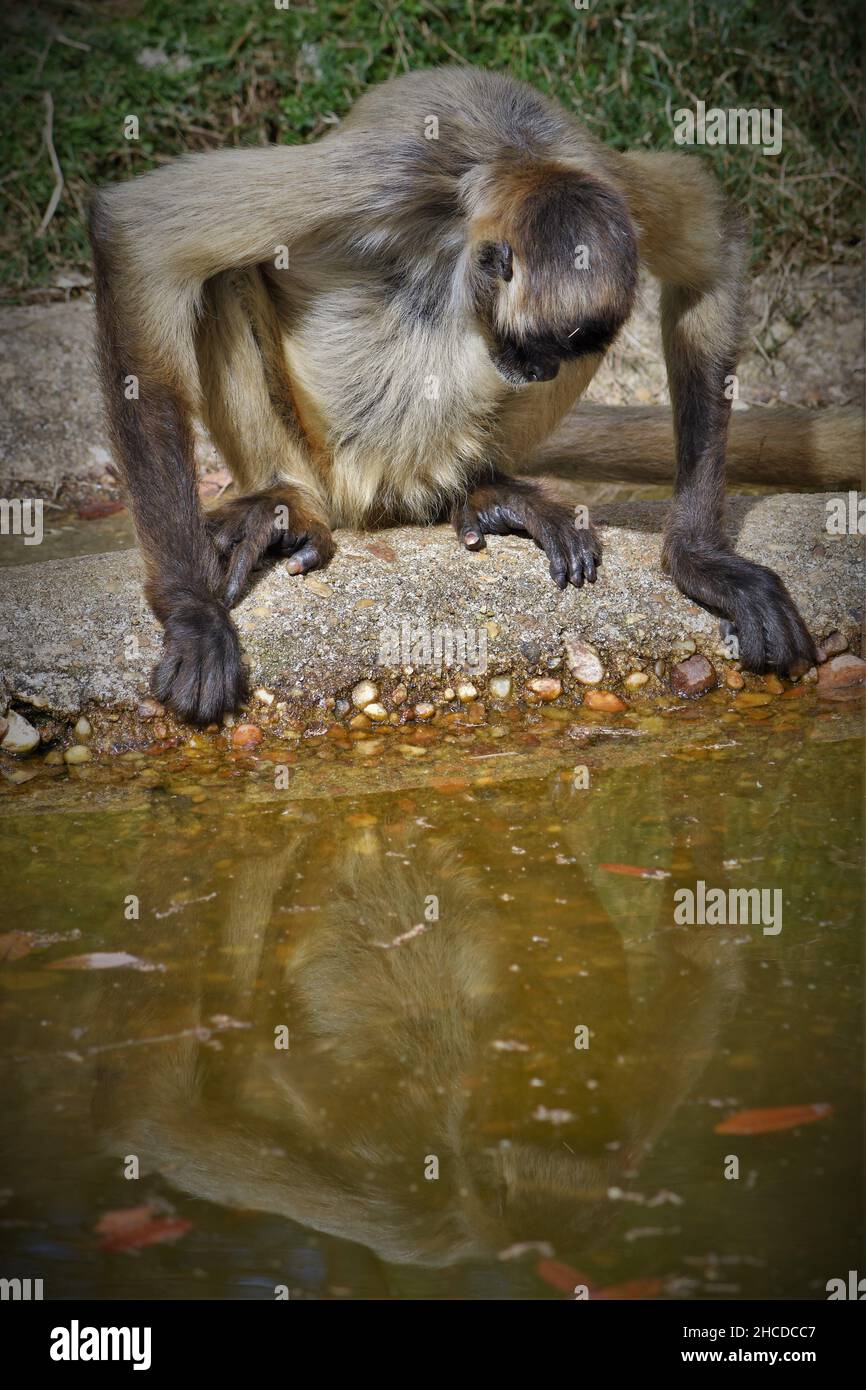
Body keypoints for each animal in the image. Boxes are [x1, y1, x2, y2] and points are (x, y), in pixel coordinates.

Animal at [89, 65, 824, 724]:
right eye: (531, 343)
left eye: (560, 351)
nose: (541, 371)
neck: (511, 153)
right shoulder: (397, 172)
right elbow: (137, 233)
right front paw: (192, 611)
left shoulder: (597, 172)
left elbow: (719, 240)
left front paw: (704, 562)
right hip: (319, 454)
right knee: (225, 275)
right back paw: (283, 501)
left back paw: (484, 489)